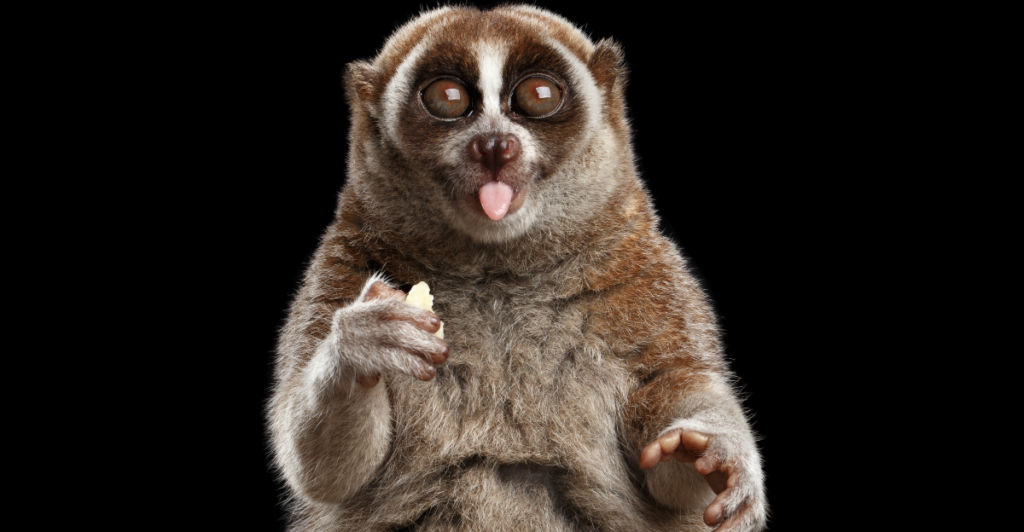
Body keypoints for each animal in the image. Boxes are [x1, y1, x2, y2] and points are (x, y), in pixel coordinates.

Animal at [268, 5, 767, 531]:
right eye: (447, 99)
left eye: (538, 95)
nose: (493, 144)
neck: (498, 269)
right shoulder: (339, 270)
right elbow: (321, 467)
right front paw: (363, 344)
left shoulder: (647, 278)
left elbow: (673, 413)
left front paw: (713, 449)